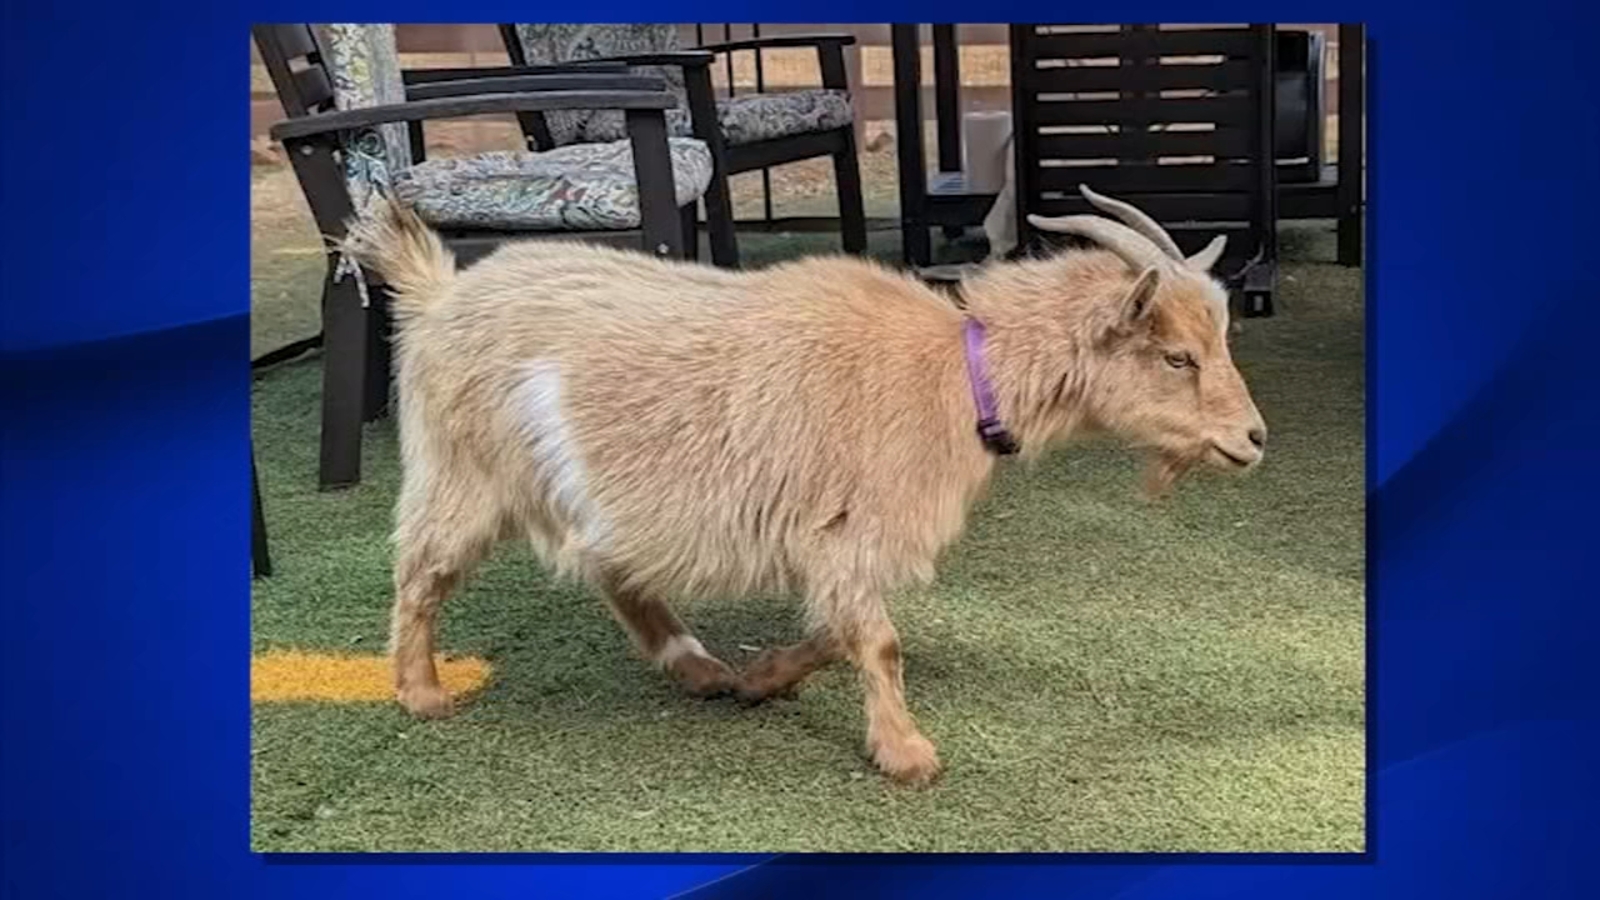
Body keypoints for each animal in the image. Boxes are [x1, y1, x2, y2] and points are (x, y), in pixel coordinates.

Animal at [341, 185, 1267, 785]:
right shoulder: (851, 530)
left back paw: (699, 668)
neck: (958, 369)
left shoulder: (832, 543)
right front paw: (907, 755)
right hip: (463, 471)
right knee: (420, 571)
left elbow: (835, 632)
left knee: (611, 565)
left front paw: (763, 680)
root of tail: (437, 293)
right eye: (1176, 356)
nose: (1253, 439)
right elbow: (879, 640)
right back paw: (421, 693)